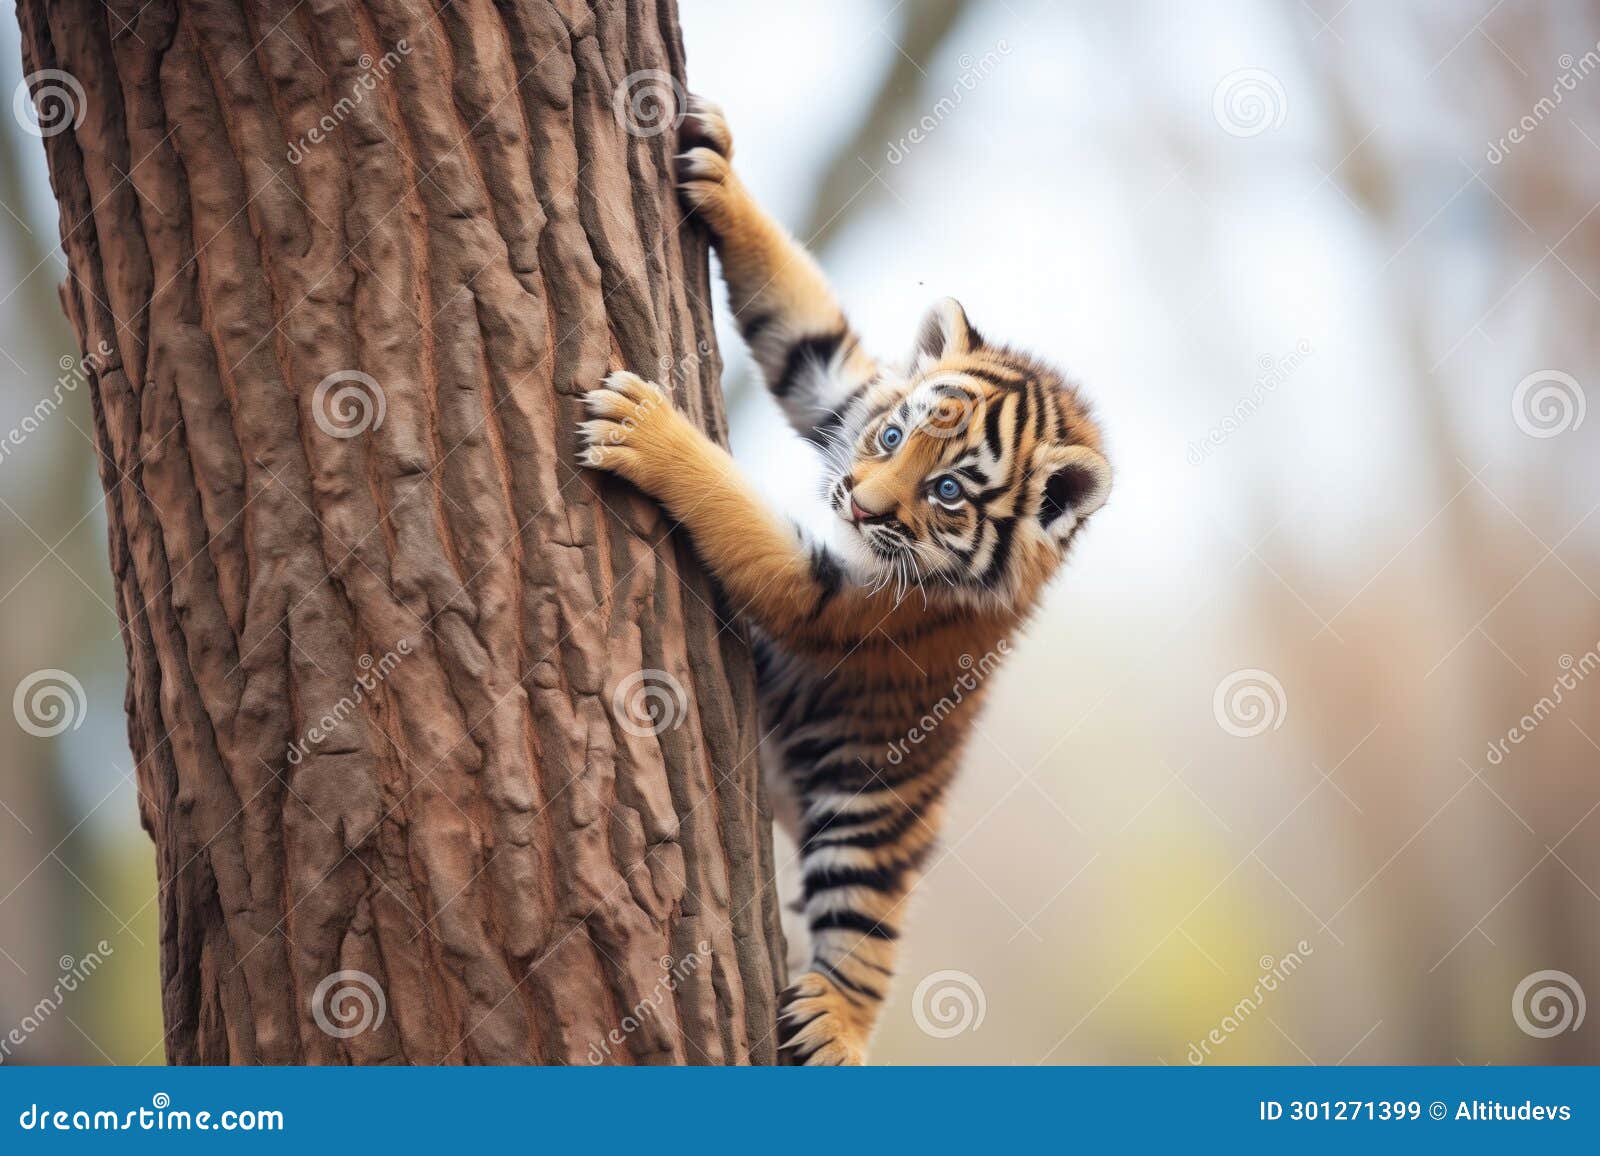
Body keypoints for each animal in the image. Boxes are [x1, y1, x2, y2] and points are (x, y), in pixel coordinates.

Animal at [577, 96, 1111, 1064]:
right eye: (893, 436)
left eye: (948, 492)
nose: (857, 502)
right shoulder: (837, 392)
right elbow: (803, 326)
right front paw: (715, 165)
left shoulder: (829, 592)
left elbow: (730, 504)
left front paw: (645, 429)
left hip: (871, 818)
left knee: (867, 930)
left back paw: (835, 1024)